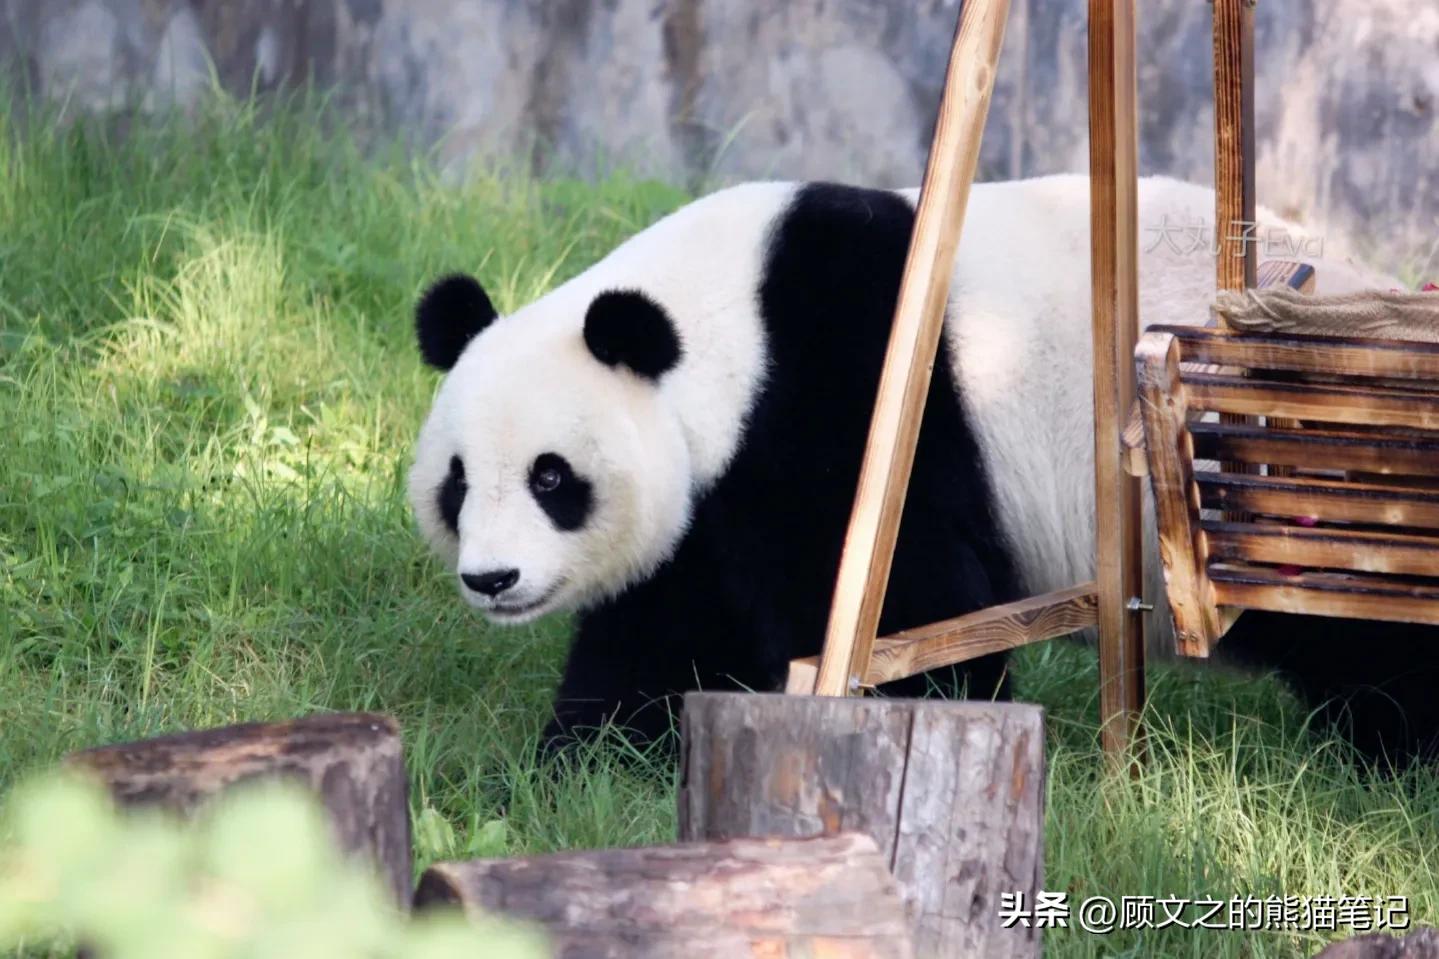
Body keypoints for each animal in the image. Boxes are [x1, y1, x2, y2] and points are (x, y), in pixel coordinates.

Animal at [407, 174, 1439, 765]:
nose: (492, 579)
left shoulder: (840, 396)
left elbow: (914, 598)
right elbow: (659, 630)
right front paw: (582, 764)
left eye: (551, 478)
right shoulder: (709, 497)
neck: (722, 322)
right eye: (457, 482)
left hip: (1300, 462)